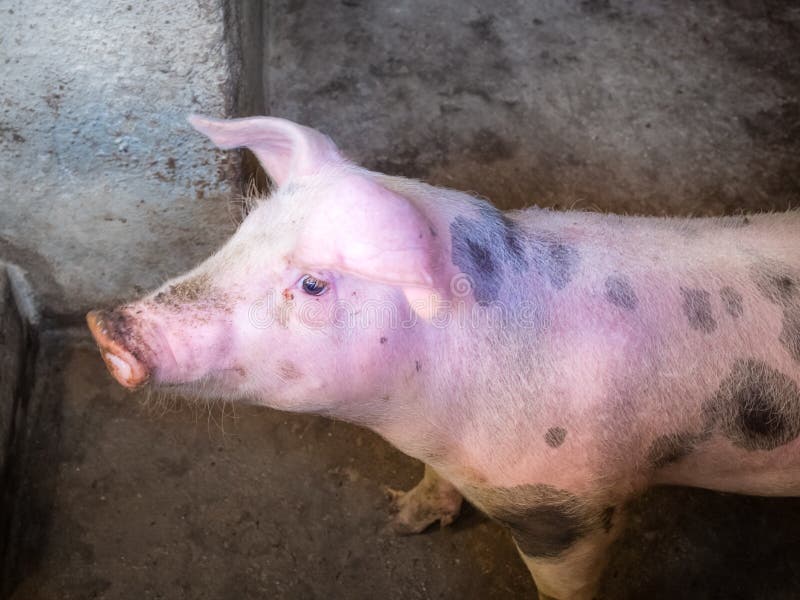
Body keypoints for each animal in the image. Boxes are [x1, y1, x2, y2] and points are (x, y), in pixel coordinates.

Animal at [87, 114, 800, 600]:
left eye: (314, 284)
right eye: (243, 236)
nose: (106, 327)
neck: (422, 419)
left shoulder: (569, 506)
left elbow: (562, 582)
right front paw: (400, 517)